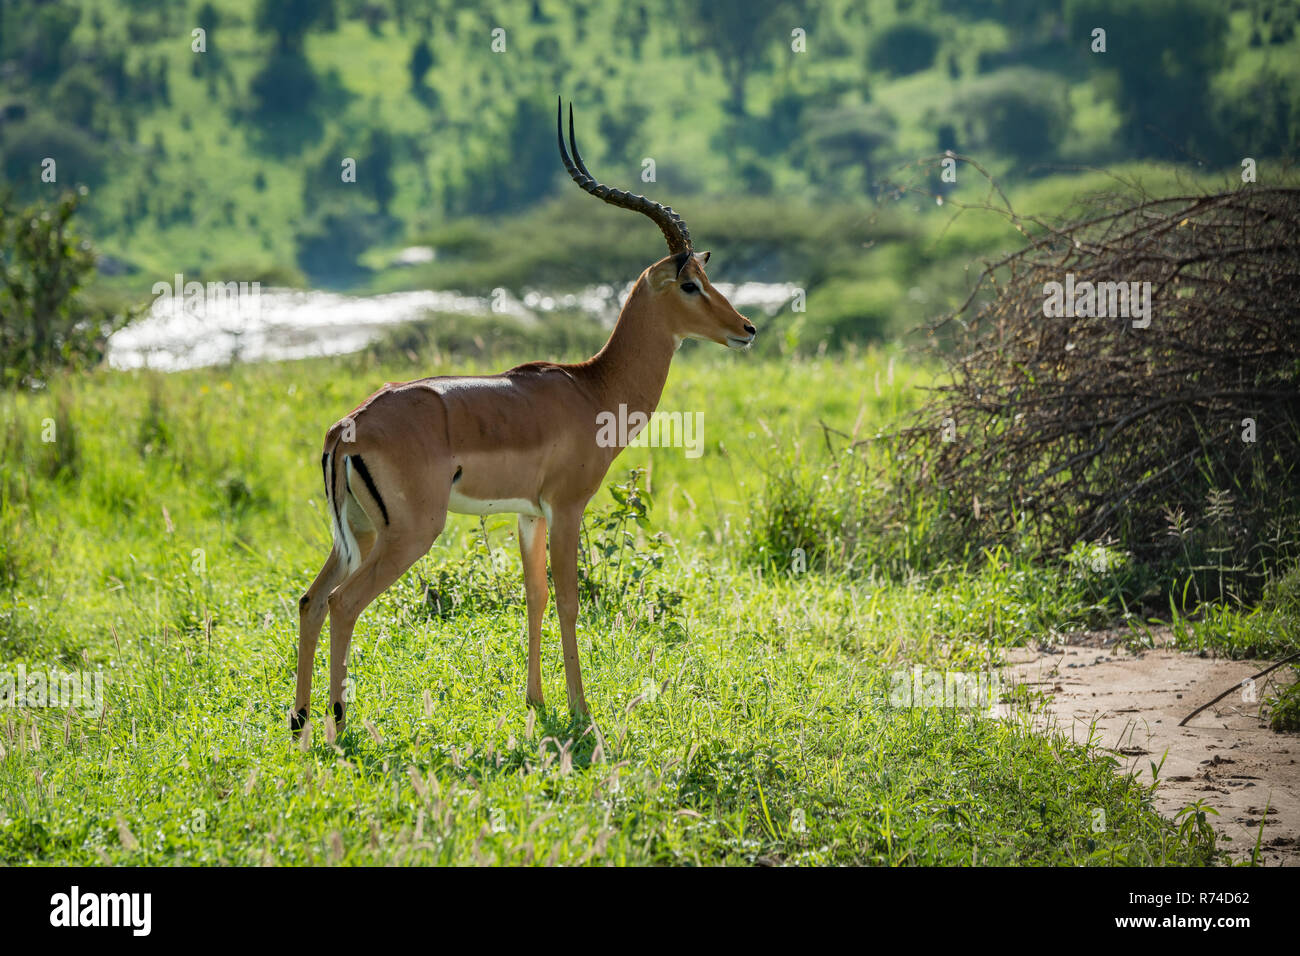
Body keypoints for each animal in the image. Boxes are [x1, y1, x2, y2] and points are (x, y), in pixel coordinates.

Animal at [290, 99, 757, 736]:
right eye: (690, 284)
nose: (746, 329)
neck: (591, 388)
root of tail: (346, 427)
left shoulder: (529, 514)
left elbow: (533, 596)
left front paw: (536, 700)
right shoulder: (567, 507)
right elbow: (568, 598)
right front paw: (582, 709)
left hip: (357, 532)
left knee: (311, 600)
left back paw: (300, 722)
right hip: (408, 534)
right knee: (343, 604)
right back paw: (338, 726)